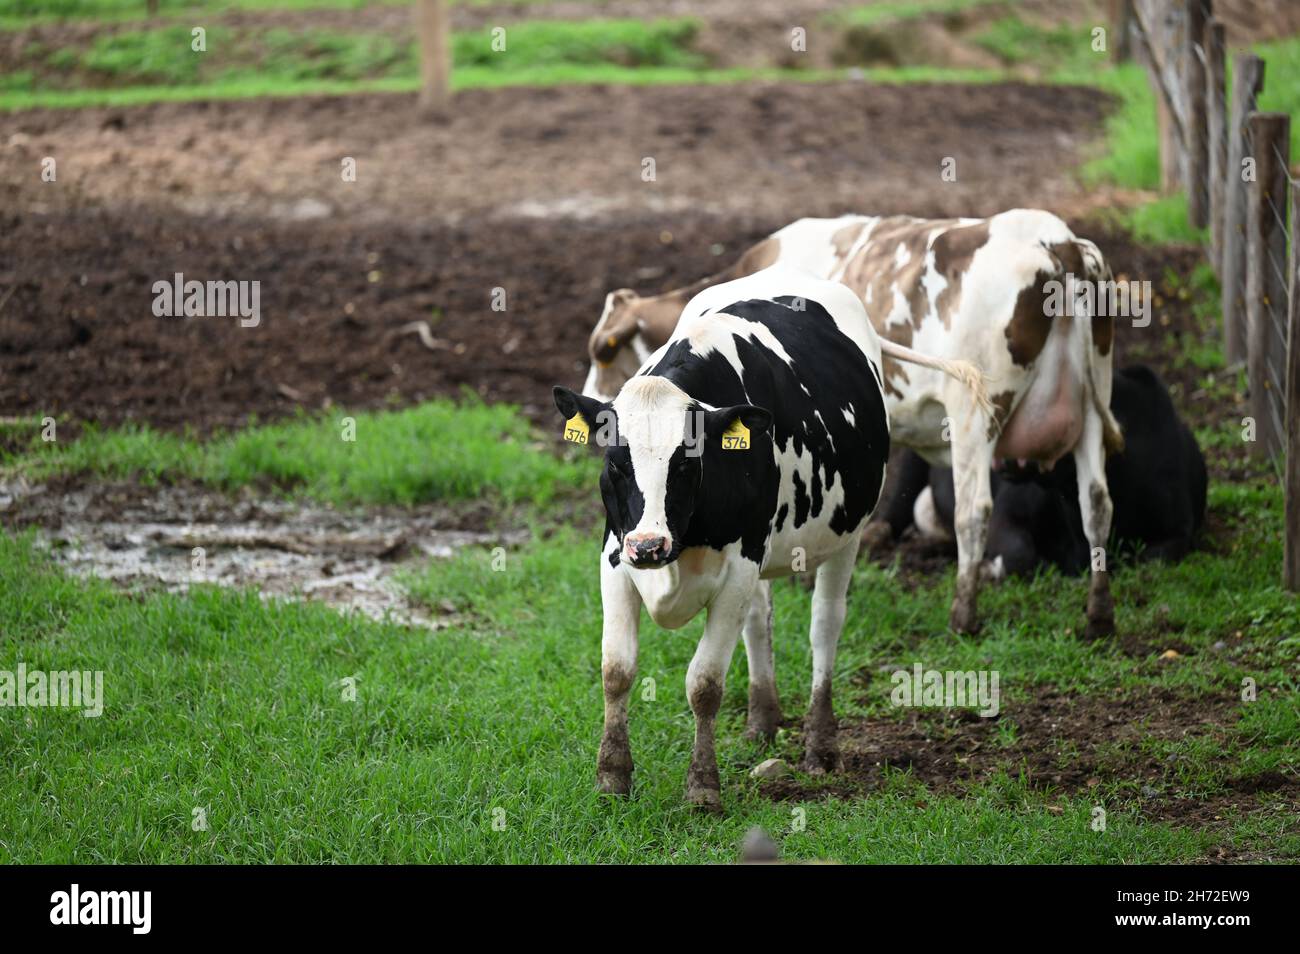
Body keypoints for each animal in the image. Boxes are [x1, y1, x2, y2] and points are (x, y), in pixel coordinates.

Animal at [555, 264, 988, 810]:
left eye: (687, 462)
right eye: (614, 462)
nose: (650, 546)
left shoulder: (739, 565)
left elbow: (704, 684)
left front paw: (703, 788)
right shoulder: (615, 556)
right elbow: (616, 670)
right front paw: (612, 776)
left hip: (847, 535)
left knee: (825, 626)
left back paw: (820, 745)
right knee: (758, 621)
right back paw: (762, 721)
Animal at [582, 210, 1123, 638]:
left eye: (604, 352)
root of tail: (1059, 242)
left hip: (976, 412)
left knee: (975, 512)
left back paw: (963, 614)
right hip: (1092, 404)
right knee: (1097, 502)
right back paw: (1098, 615)